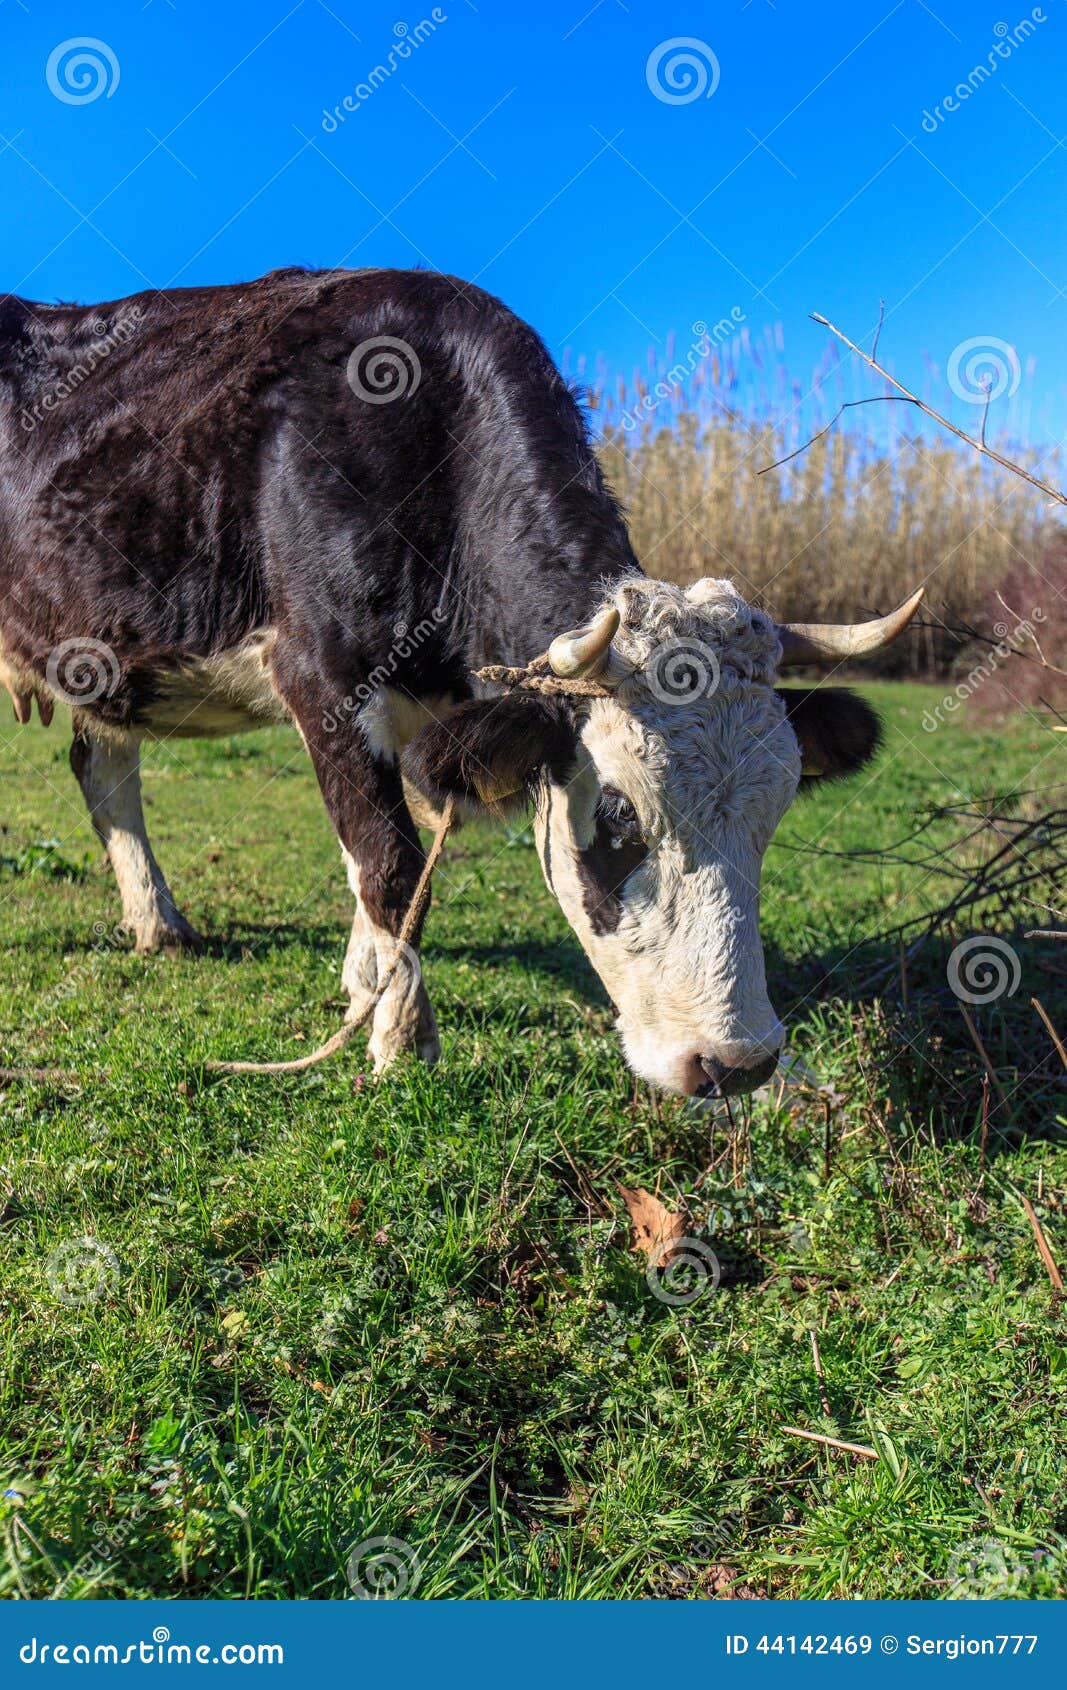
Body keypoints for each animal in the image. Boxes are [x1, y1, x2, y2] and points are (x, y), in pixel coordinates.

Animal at [0, 267, 921, 1097]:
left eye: (776, 810)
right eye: (618, 816)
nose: (737, 1062)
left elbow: (380, 871)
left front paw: (366, 990)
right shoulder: (322, 676)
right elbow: (388, 863)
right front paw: (403, 1041)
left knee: (102, 768)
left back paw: (157, 923)